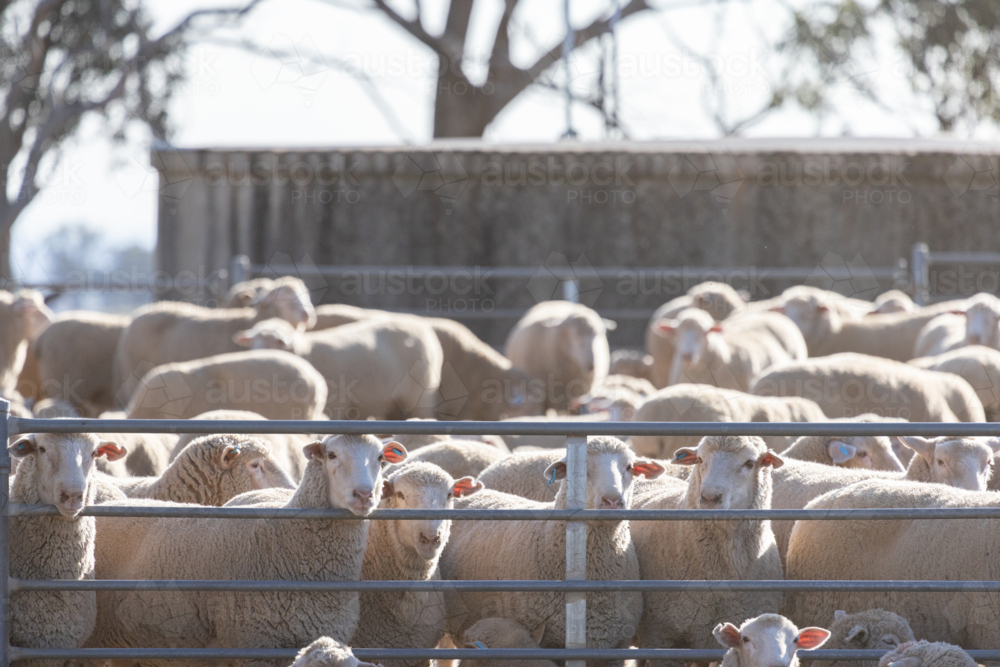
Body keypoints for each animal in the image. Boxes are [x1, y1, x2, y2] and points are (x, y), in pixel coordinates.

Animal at [234, 317, 443, 420]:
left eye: (275, 341)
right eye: (253, 341)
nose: (256, 356)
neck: (305, 350)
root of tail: (424, 328)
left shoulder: (334, 407)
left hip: (421, 394)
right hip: (394, 403)